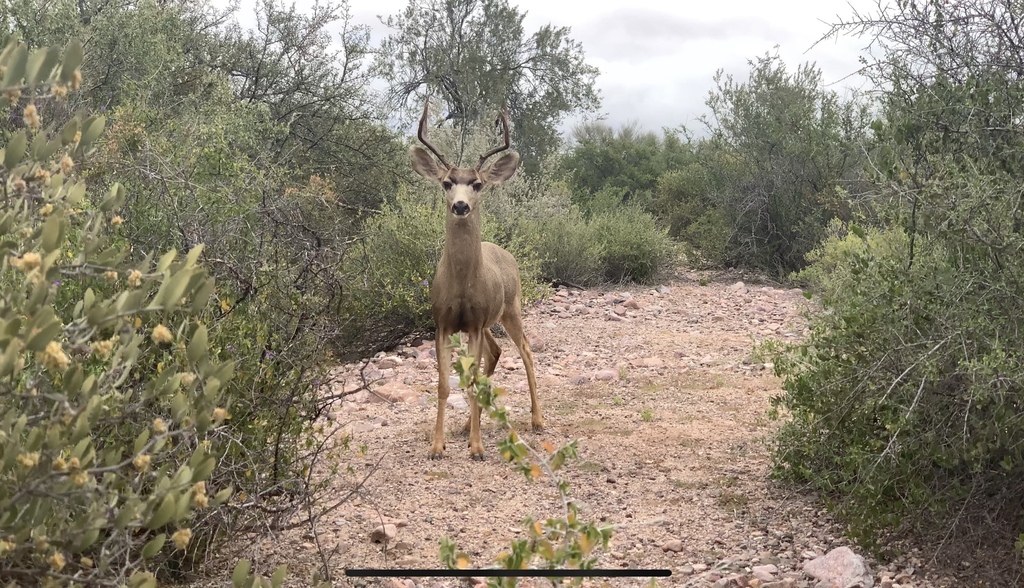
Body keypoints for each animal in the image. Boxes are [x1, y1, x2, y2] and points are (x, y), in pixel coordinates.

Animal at [409, 101, 543, 460]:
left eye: (477, 183)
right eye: (446, 182)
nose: (460, 205)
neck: (461, 286)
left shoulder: (474, 322)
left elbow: (468, 382)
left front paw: (478, 446)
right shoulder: (443, 322)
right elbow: (444, 384)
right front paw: (437, 445)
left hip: (510, 309)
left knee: (525, 351)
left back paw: (537, 419)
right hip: (488, 324)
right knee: (495, 354)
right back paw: (466, 426)